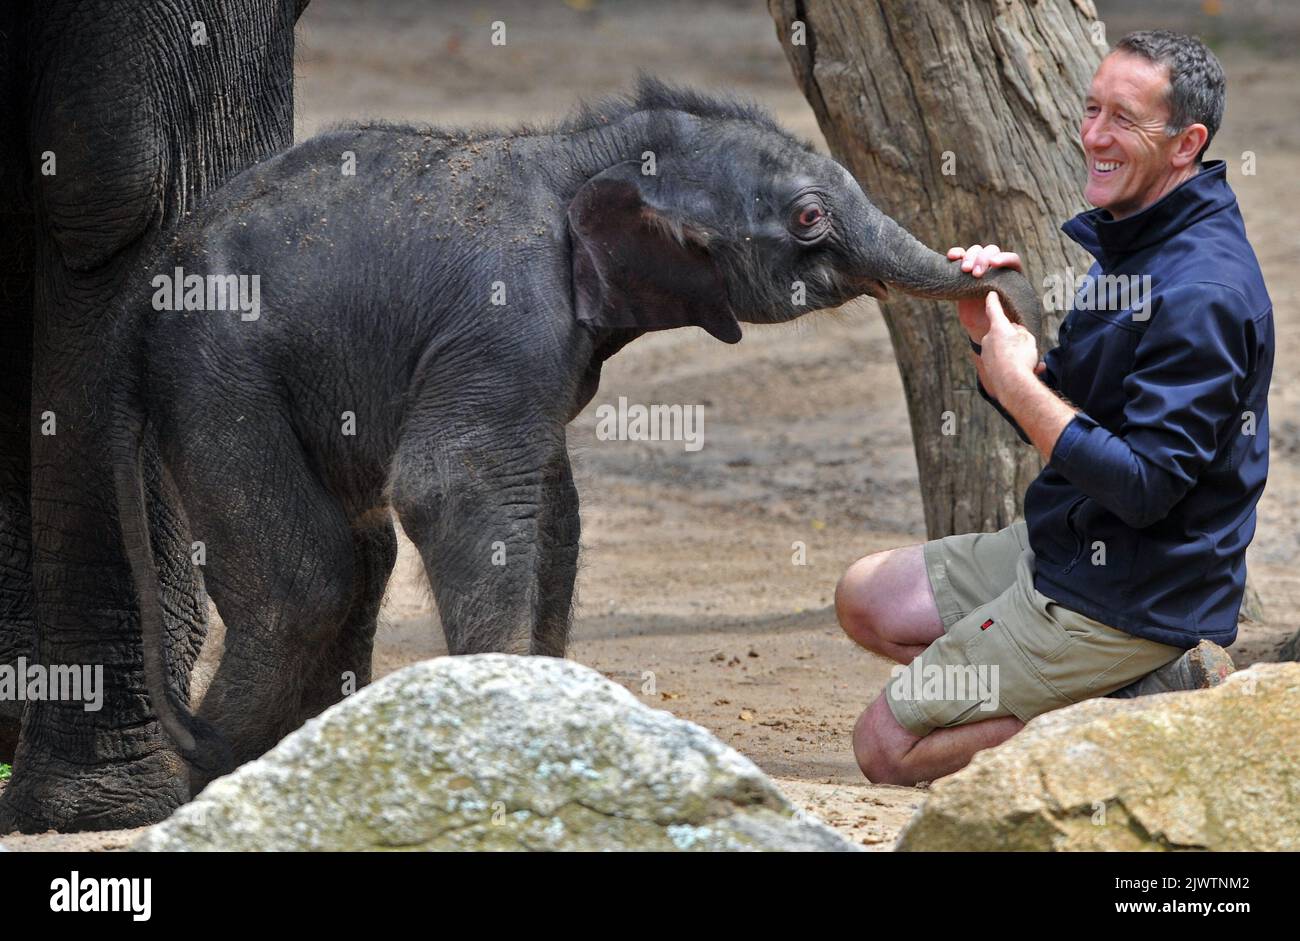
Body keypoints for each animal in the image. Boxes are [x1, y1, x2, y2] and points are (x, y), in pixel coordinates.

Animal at [113, 75, 1042, 787]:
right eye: (810, 217)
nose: (996, 272)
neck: (577, 154)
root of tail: (153, 282)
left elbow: (554, 517)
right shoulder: (508, 318)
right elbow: (454, 484)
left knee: (361, 557)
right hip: (217, 368)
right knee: (307, 577)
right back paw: (219, 774)